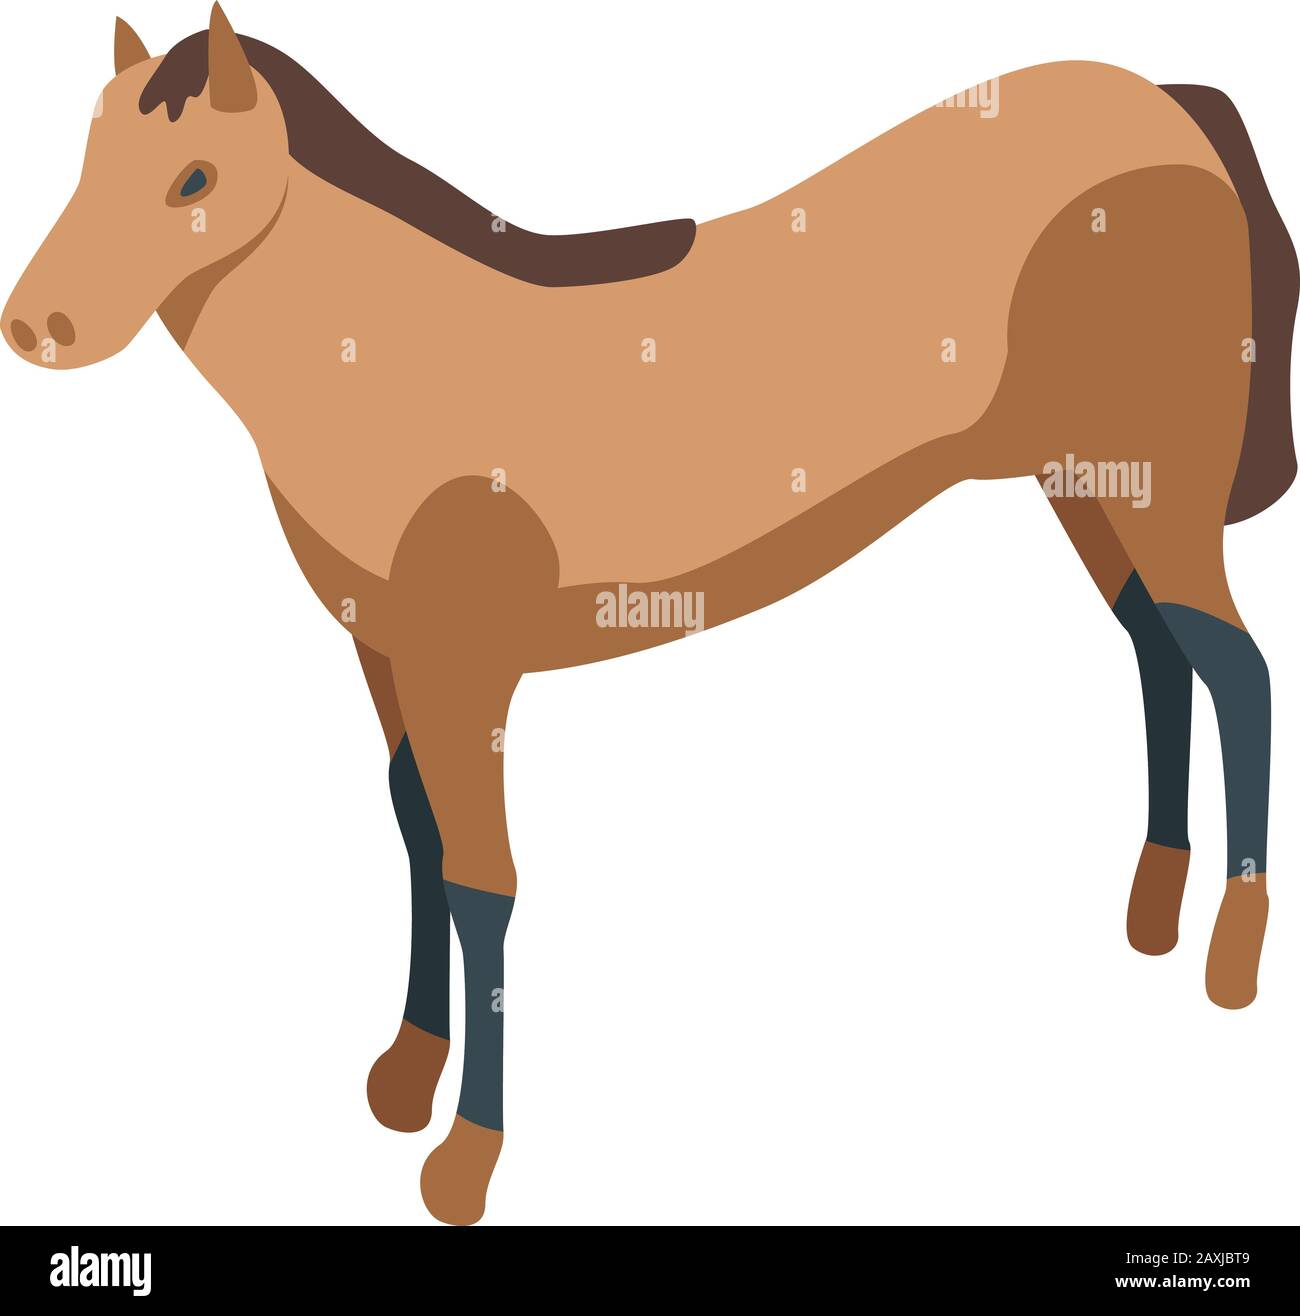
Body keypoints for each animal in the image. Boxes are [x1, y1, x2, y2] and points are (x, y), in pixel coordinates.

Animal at [5, 5, 1295, 1224]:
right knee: (1154, 649)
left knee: (1236, 669)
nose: (37, 326)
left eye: (194, 180)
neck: (386, 350)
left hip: (1152, 483)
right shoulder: (385, 650)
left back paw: (1231, 954)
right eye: (86, 150)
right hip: (1084, 479)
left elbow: (481, 879)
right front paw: (403, 1075)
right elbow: (416, 831)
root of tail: (1162, 103)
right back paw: (1152, 904)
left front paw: (465, 1158)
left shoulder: (466, 666)